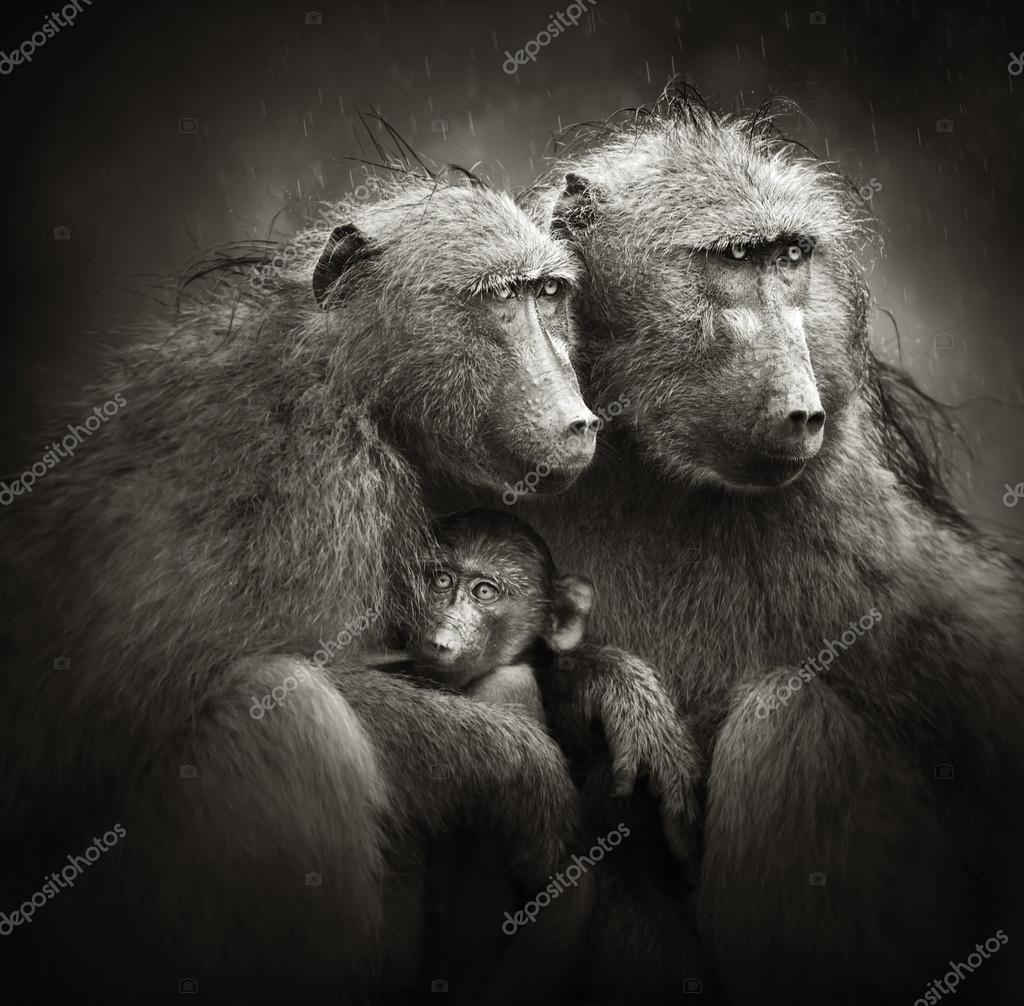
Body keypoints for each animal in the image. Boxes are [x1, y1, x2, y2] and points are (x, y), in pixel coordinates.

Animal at [0, 165, 702, 1005]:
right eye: (502, 298)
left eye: (550, 293)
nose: (578, 415)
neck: (352, 377)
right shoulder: (323, 478)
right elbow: (322, 681)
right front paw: (527, 774)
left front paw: (611, 688)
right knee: (288, 715)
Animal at [516, 81, 1024, 1005]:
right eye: (733, 260)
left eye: (790, 256)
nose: (801, 406)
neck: (653, 469)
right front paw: (611, 692)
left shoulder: (866, 526)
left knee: (785, 729)